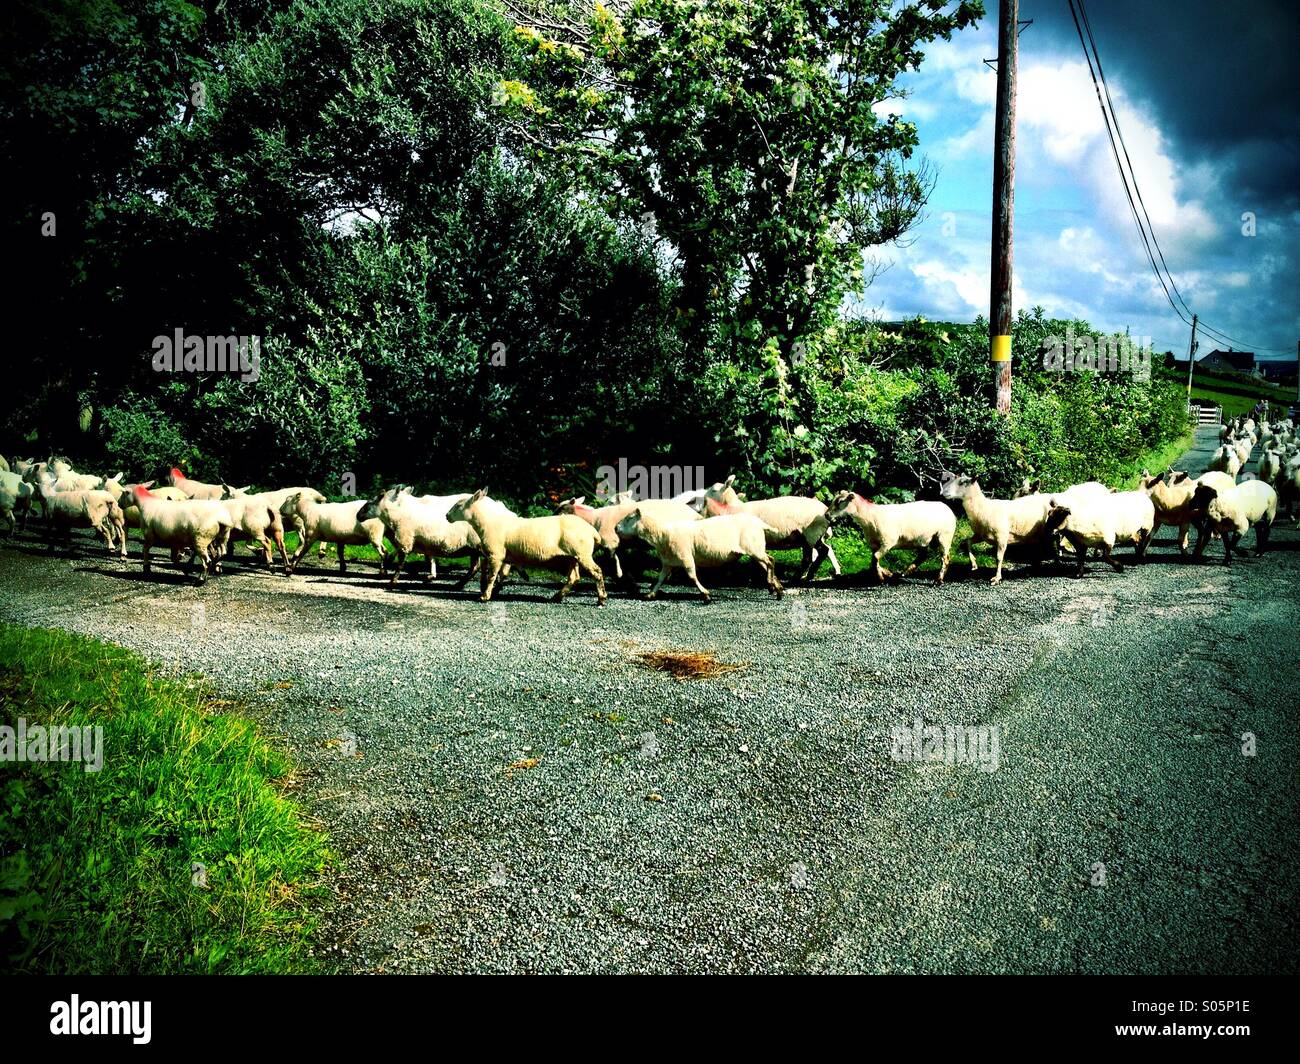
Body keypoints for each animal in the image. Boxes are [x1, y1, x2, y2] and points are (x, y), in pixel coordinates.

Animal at [446, 488, 606, 605]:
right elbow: (493, 574)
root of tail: (592, 531)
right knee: (574, 577)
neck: (489, 522)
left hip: (582, 553)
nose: (447, 516)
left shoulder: (496, 554)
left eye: (459, 505)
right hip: (572, 556)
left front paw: (485, 596)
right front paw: (490, 591)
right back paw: (557, 597)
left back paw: (601, 599)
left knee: (597, 572)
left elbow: (492, 575)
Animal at [614, 507, 782, 603]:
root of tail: (759, 523)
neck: (662, 534)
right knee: (767, 563)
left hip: (754, 548)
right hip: (755, 549)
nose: (615, 528)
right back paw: (774, 587)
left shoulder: (686, 557)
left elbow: (692, 576)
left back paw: (774, 588)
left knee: (771, 561)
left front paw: (705, 595)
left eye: (629, 518)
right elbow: (660, 579)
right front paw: (650, 594)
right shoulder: (668, 562)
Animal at [701, 478, 841, 582]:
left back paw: (802, 577)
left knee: (816, 555)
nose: (702, 498)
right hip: (812, 536)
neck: (732, 509)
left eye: (713, 490)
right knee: (821, 552)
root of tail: (826, 510)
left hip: (811, 533)